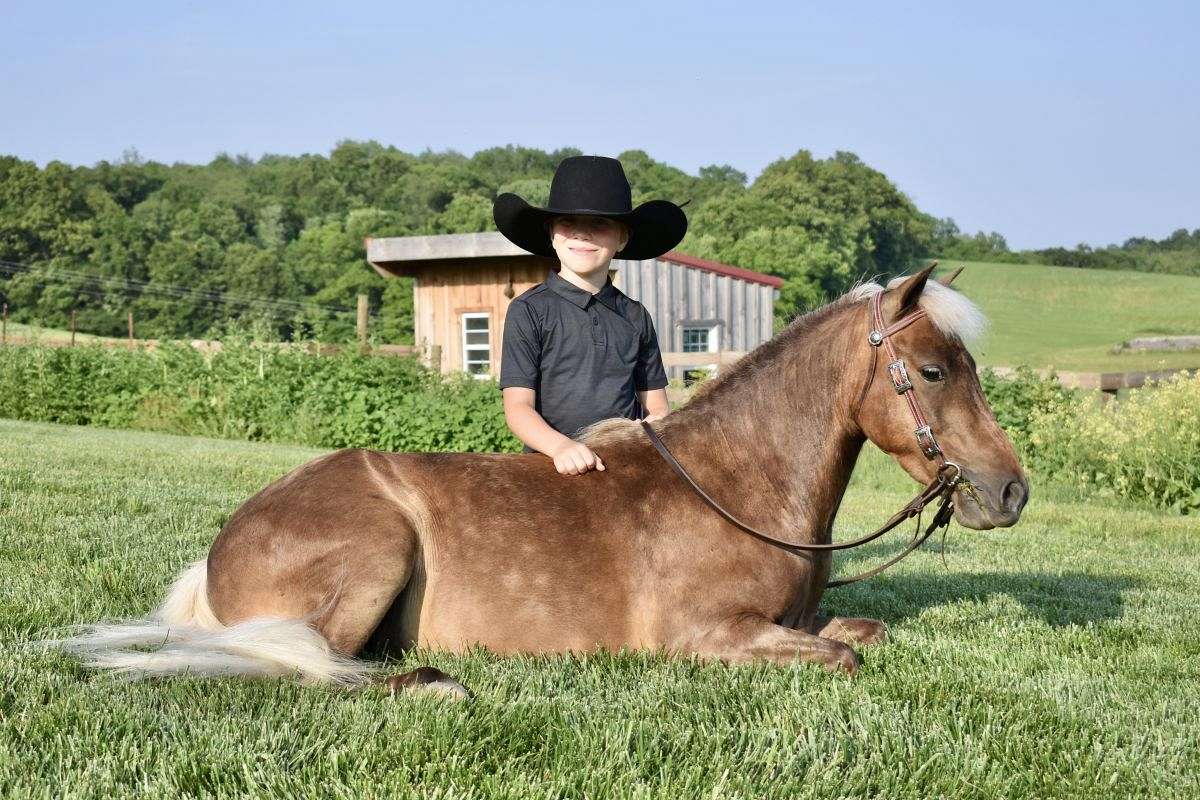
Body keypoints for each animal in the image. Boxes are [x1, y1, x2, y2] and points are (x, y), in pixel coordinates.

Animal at [58, 264, 1028, 688]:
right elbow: (843, 658)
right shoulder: (705, 639)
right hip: (373, 556)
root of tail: (223, 548)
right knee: (321, 669)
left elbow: (864, 634)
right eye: (934, 370)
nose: (1011, 491)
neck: (737, 488)